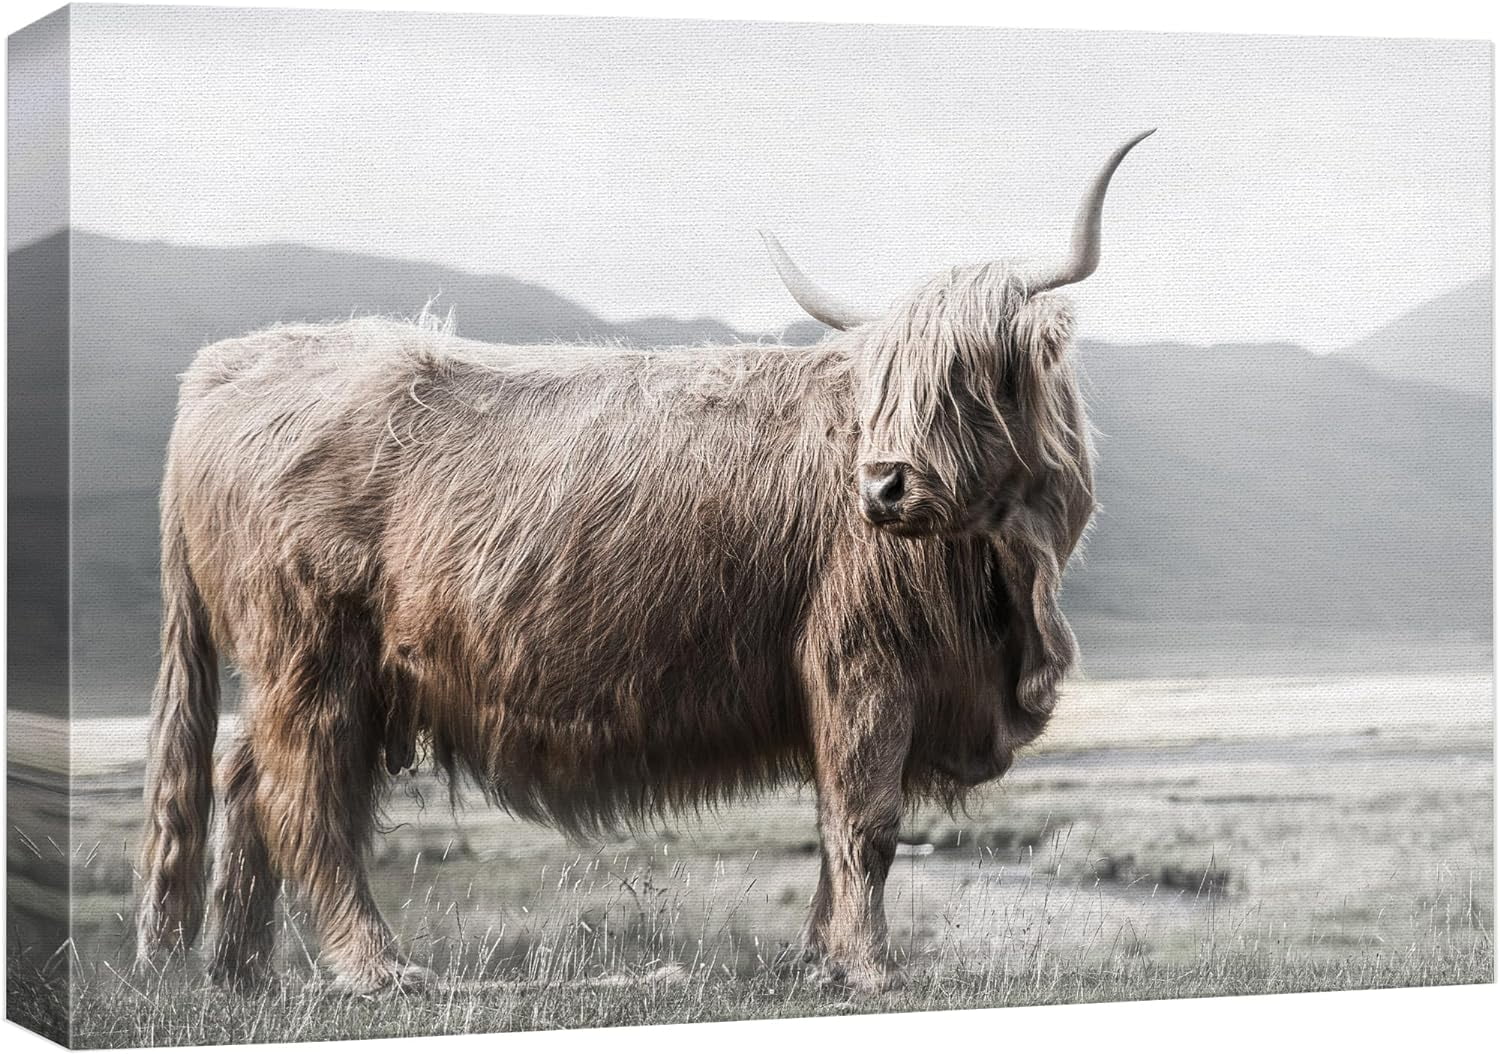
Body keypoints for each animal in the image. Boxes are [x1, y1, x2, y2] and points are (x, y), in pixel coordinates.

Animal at [136, 130, 1153, 994]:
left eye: (977, 374)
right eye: (885, 385)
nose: (884, 485)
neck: (1010, 591)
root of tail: (228, 364)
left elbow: (835, 824)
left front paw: (820, 960)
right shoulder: (863, 665)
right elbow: (865, 823)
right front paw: (869, 969)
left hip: (304, 670)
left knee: (244, 781)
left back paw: (239, 972)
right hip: (313, 658)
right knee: (304, 802)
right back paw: (375, 968)